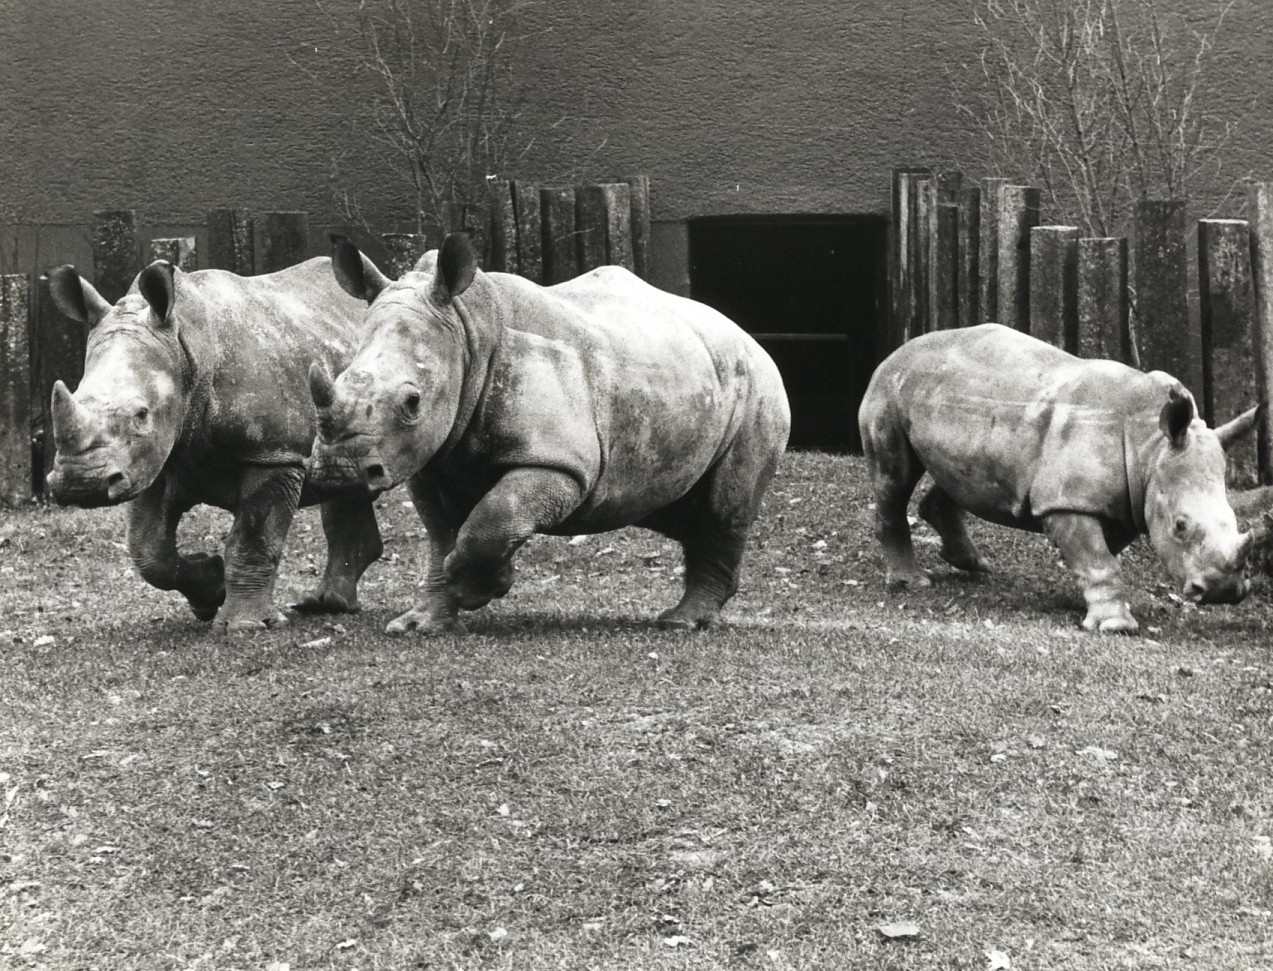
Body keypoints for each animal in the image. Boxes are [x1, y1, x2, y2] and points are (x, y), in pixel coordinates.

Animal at [45, 258, 383, 633]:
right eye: (74, 396)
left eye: (141, 414)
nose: (81, 484)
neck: (184, 347)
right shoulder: (156, 460)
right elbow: (147, 550)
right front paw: (210, 589)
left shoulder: (273, 453)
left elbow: (252, 538)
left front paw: (244, 625)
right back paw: (325, 605)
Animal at [306, 233, 790, 634]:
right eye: (339, 378)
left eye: (412, 402)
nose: (337, 473)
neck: (467, 333)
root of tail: (746, 334)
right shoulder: (430, 459)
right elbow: (443, 535)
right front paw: (420, 623)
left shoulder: (560, 463)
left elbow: (492, 518)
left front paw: (476, 588)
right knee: (678, 506)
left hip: (758, 384)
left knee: (723, 508)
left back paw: (679, 623)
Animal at [859, 323, 1258, 632]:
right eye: (1180, 526)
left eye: (1236, 521)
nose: (1222, 592)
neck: (1150, 446)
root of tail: (901, 349)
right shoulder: (1066, 503)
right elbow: (1098, 559)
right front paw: (1115, 626)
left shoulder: (1126, 501)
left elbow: (1099, 556)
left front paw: (1084, 605)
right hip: (889, 390)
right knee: (894, 478)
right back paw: (913, 583)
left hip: (947, 396)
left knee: (958, 476)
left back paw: (974, 565)